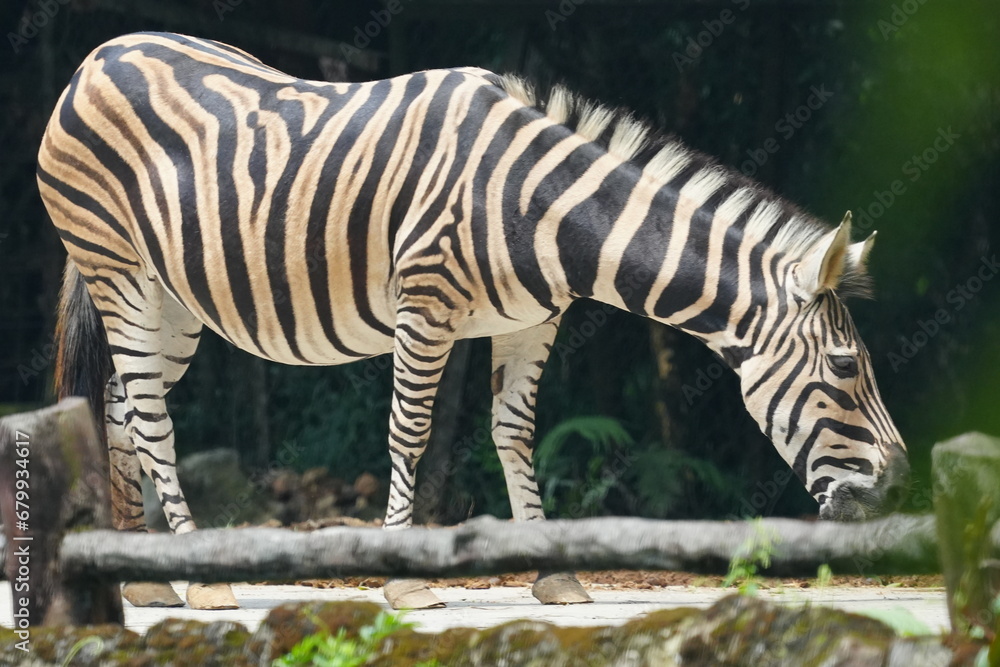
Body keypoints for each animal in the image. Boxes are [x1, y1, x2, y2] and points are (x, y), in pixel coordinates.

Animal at [40, 32, 909, 610]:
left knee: (122, 407)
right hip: (118, 270)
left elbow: (514, 434)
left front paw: (554, 573)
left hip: (170, 300)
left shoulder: (531, 324)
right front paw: (401, 579)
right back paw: (195, 574)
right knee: (152, 419)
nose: (900, 482)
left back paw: (139, 577)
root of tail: (97, 55)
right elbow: (411, 434)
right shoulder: (424, 307)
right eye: (844, 368)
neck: (546, 210)